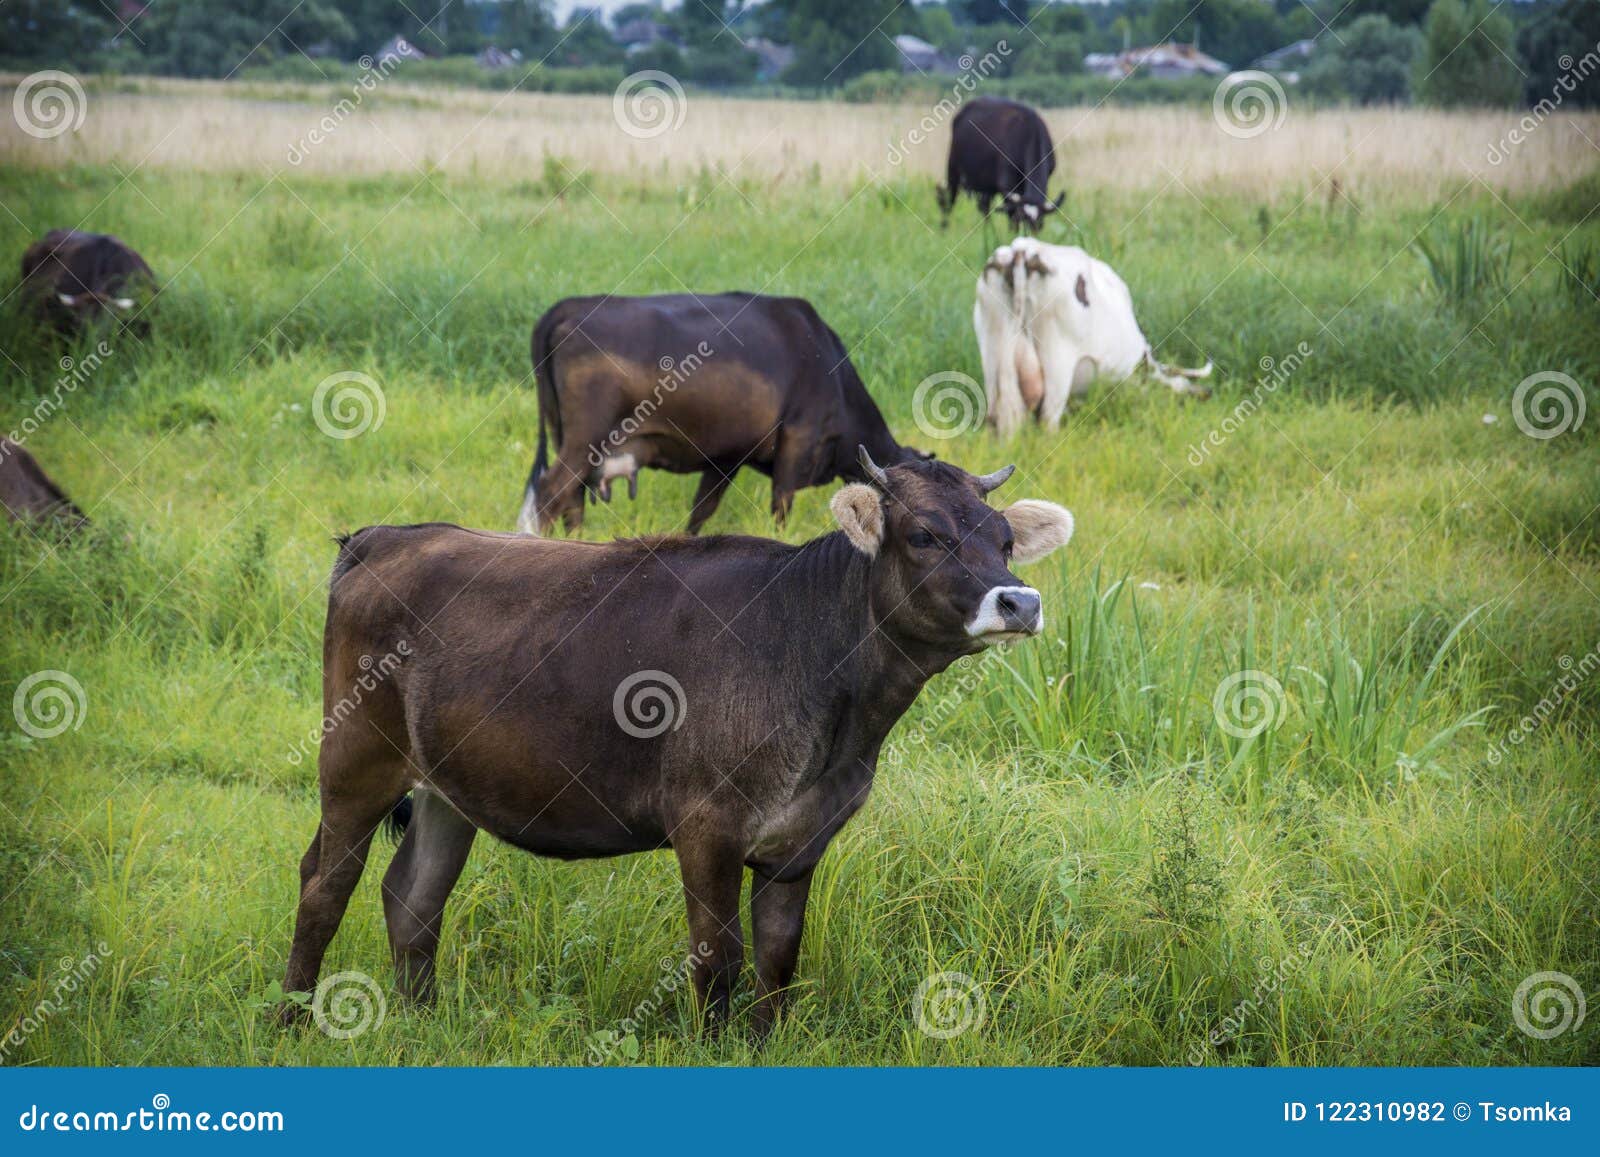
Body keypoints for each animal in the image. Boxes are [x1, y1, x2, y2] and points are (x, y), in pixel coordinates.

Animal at [281, 450, 1075, 1039]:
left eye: (1005, 540)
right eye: (925, 535)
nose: (1019, 600)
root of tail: (390, 534)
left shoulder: (803, 836)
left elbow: (778, 956)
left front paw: (763, 1045)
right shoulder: (707, 822)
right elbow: (718, 956)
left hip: (448, 785)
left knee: (414, 896)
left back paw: (423, 1022)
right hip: (354, 759)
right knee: (325, 884)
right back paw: (290, 1020)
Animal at [517, 293, 929, 536]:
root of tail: (569, 305)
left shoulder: (726, 458)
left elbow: (702, 510)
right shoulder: (797, 441)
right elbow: (781, 507)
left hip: (570, 438)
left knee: (571, 499)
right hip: (584, 439)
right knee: (551, 492)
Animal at [938, 97, 1060, 235]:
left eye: (1039, 225)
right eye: (1022, 218)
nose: (1029, 236)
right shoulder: (1007, 184)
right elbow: (1011, 213)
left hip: (985, 183)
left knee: (984, 207)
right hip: (953, 168)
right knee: (949, 200)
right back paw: (944, 229)